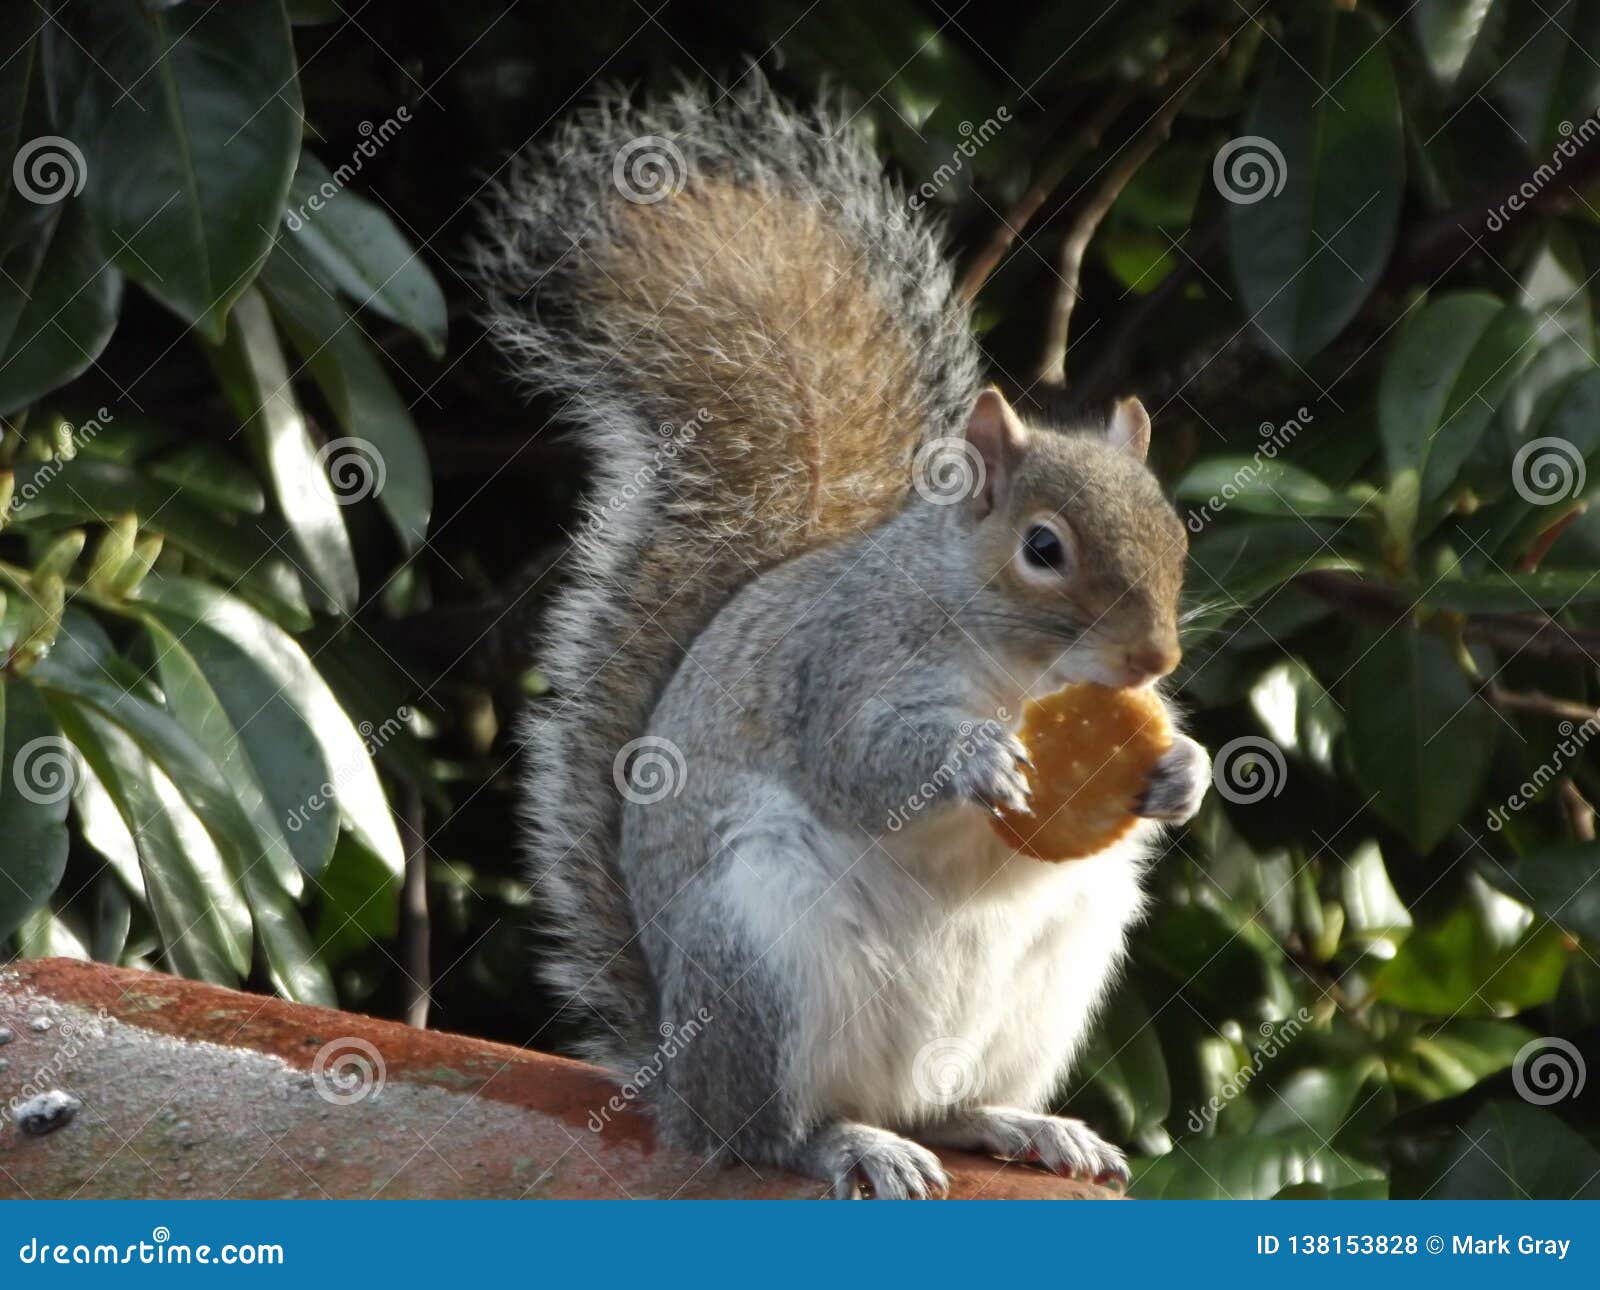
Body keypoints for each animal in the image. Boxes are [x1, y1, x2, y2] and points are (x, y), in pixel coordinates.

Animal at [475, 77, 1211, 1198]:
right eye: (1042, 548)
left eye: (1175, 532)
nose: (1153, 660)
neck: (1014, 668)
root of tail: (673, 1083)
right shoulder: (847, 663)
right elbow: (861, 762)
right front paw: (973, 756)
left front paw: (1185, 771)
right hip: (762, 963)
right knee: (769, 1135)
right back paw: (850, 1142)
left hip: (1055, 976)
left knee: (947, 1105)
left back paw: (1024, 1125)